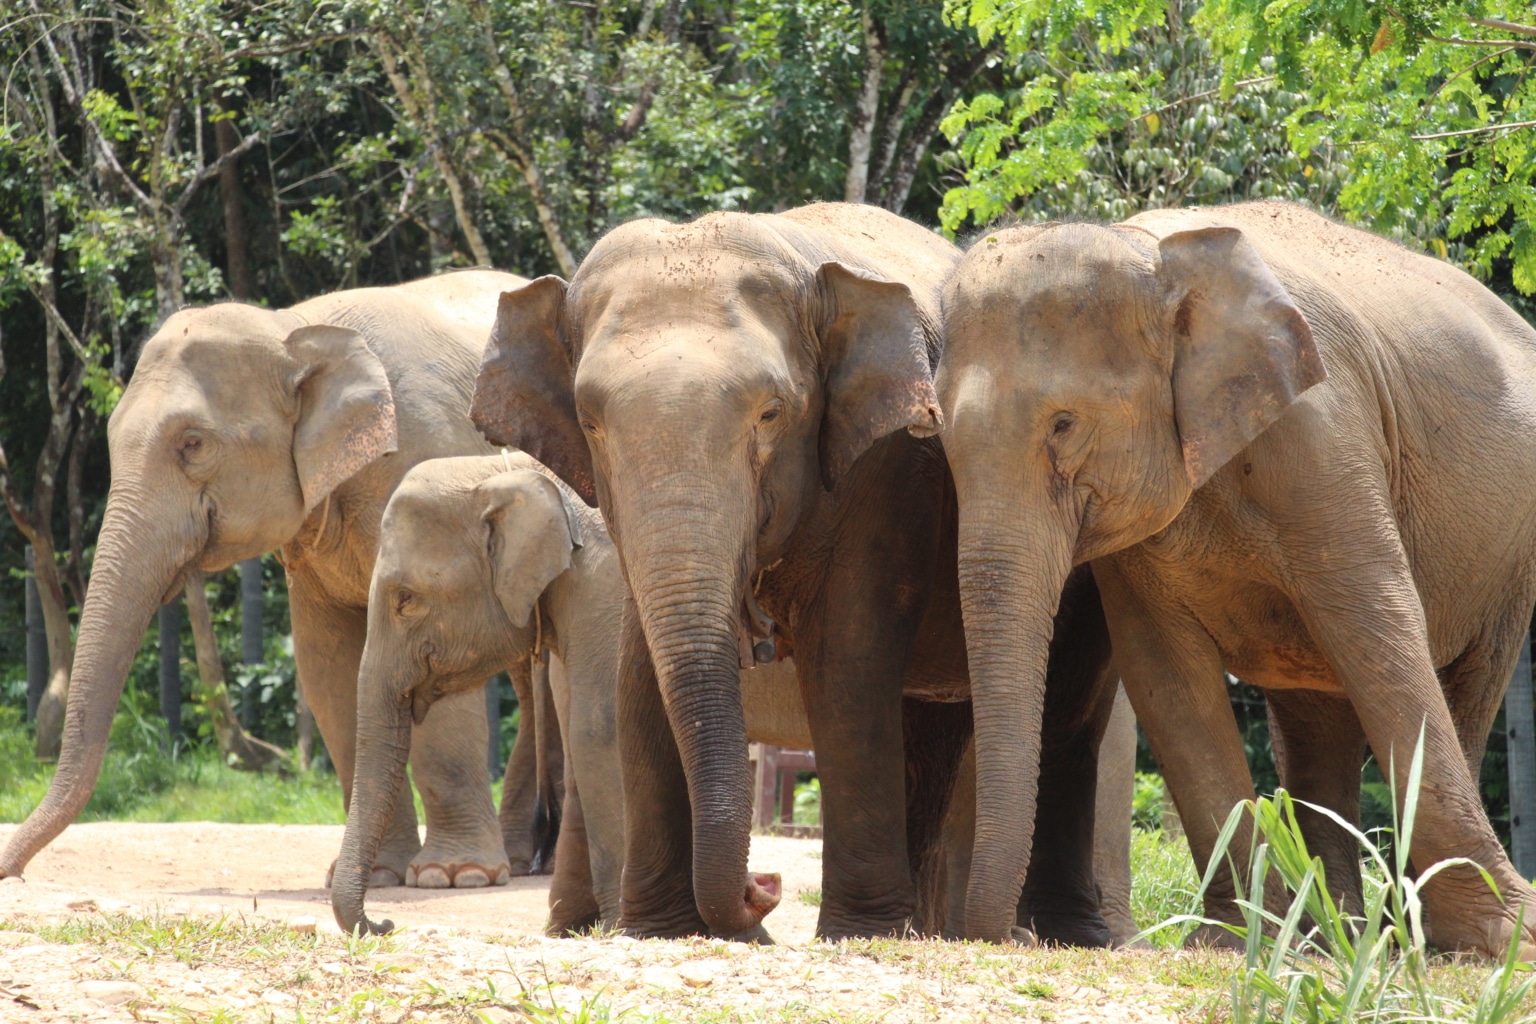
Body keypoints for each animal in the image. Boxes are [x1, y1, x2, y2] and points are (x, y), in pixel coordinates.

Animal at [0, 270, 540, 891]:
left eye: (193, 443)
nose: (13, 875)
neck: (295, 330)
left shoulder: (431, 455)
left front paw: (453, 876)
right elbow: (326, 667)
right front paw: (377, 874)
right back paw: (525, 859)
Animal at [331, 450, 1142, 942]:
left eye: (404, 600)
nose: (386, 925)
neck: (525, 477)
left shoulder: (601, 596)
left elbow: (600, 732)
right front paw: (576, 931)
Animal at [470, 202, 1122, 942]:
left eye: (770, 413)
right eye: (589, 421)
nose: (765, 889)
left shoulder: (883, 468)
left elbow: (847, 661)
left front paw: (857, 933)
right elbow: (640, 671)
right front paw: (661, 930)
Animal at [935, 199, 1536, 956]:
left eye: (1064, 425)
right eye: (938, 432)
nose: (1014, 934)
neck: (1149, 255)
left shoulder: (1324, 436)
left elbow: (1383, 631)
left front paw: (1508, 937)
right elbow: (1165, 677)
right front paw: (1234, 939)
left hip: (1513, 557)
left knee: (1466, 688)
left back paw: (1401, 940)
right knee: (1316, 722)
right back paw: (1332, 936)